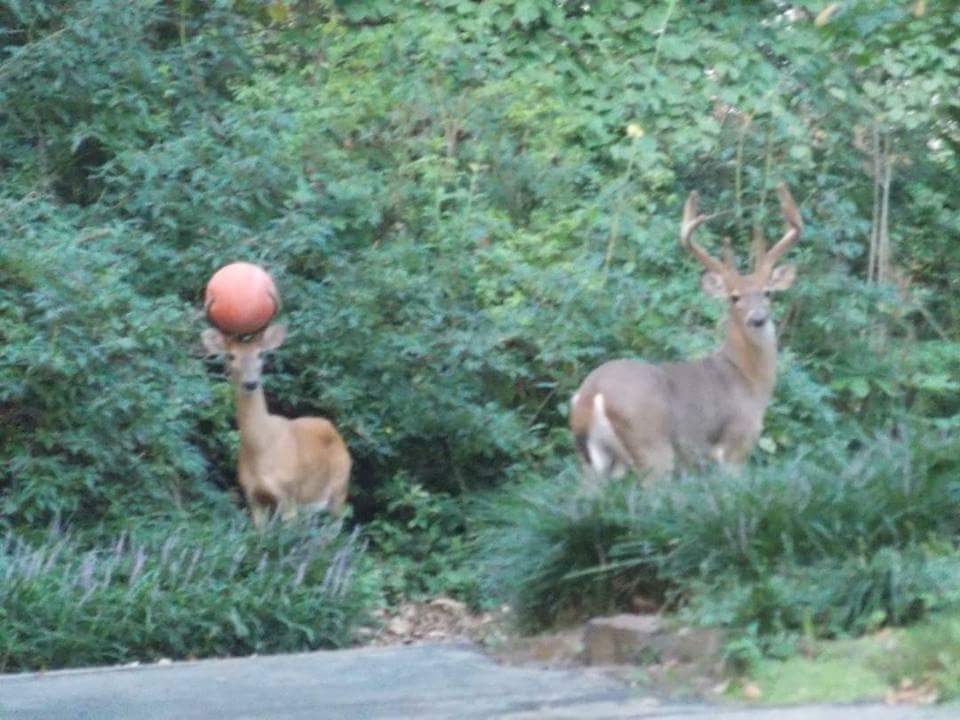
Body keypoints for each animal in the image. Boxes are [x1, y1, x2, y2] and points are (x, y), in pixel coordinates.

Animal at [201, 324, 351, 526]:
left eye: (260, 354)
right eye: (231, 356)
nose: (251, 383)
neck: (261, 449)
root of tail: (333, 428)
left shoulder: (289, 494)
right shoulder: (254, 496)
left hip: (339, 489)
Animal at [570, 183, 803, 484]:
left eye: (768, 293)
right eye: (734, 297)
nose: (758, 318)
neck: (747, 378)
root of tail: (591, 394)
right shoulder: (736, 443)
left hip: (594, 460)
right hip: (650, 444)